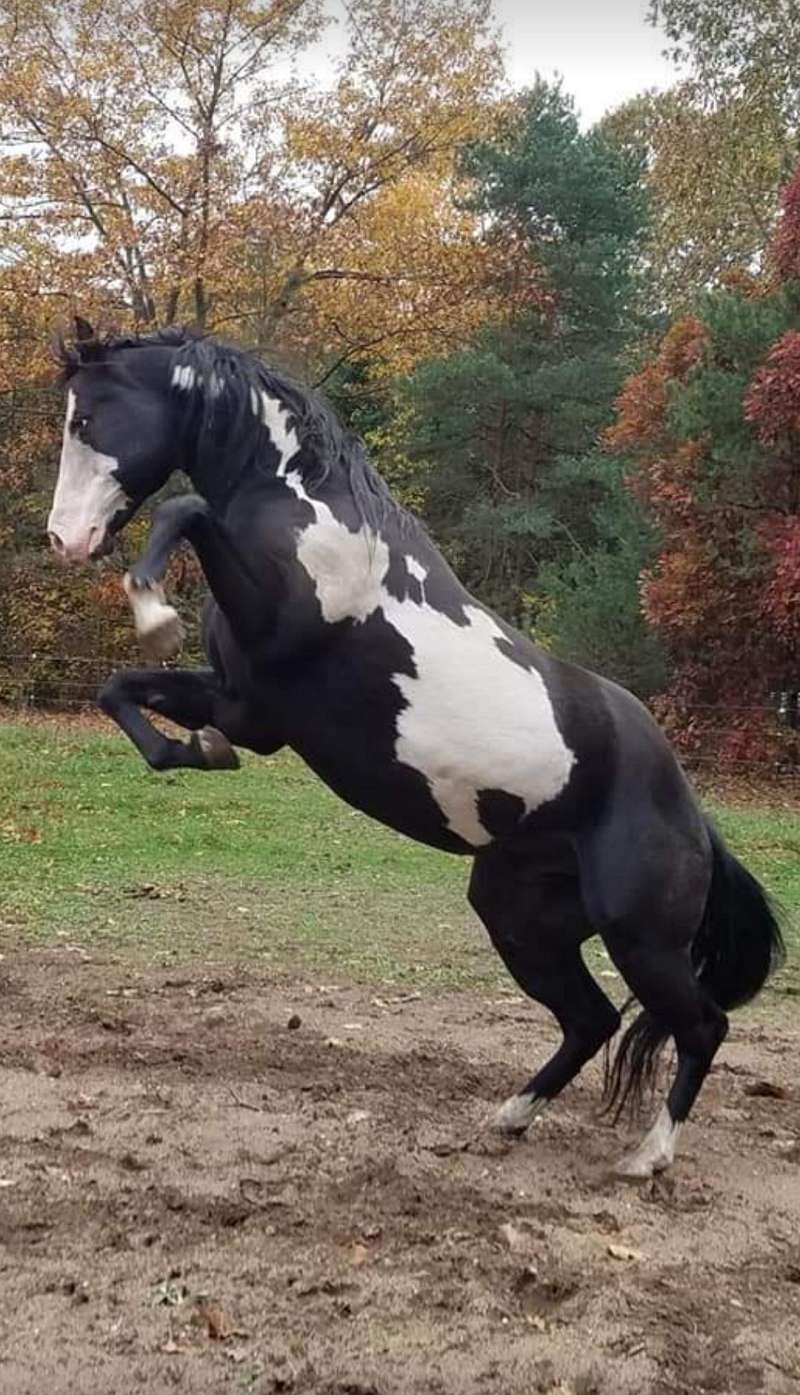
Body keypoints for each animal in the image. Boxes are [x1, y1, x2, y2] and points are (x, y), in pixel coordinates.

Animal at [46, 319, 784, 1178]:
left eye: (87, 419)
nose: (65, 539)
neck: (311, 514)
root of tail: (693, 813)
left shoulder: (265, 669)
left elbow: (187, 506)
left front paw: (152, 610)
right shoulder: (249, 704)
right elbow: (122, 697)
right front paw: (198, 743)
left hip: (642, 937)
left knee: (701, 1025)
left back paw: (649, 1156)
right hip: (519, 918)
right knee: (591, 1019)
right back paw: (509, 1117)